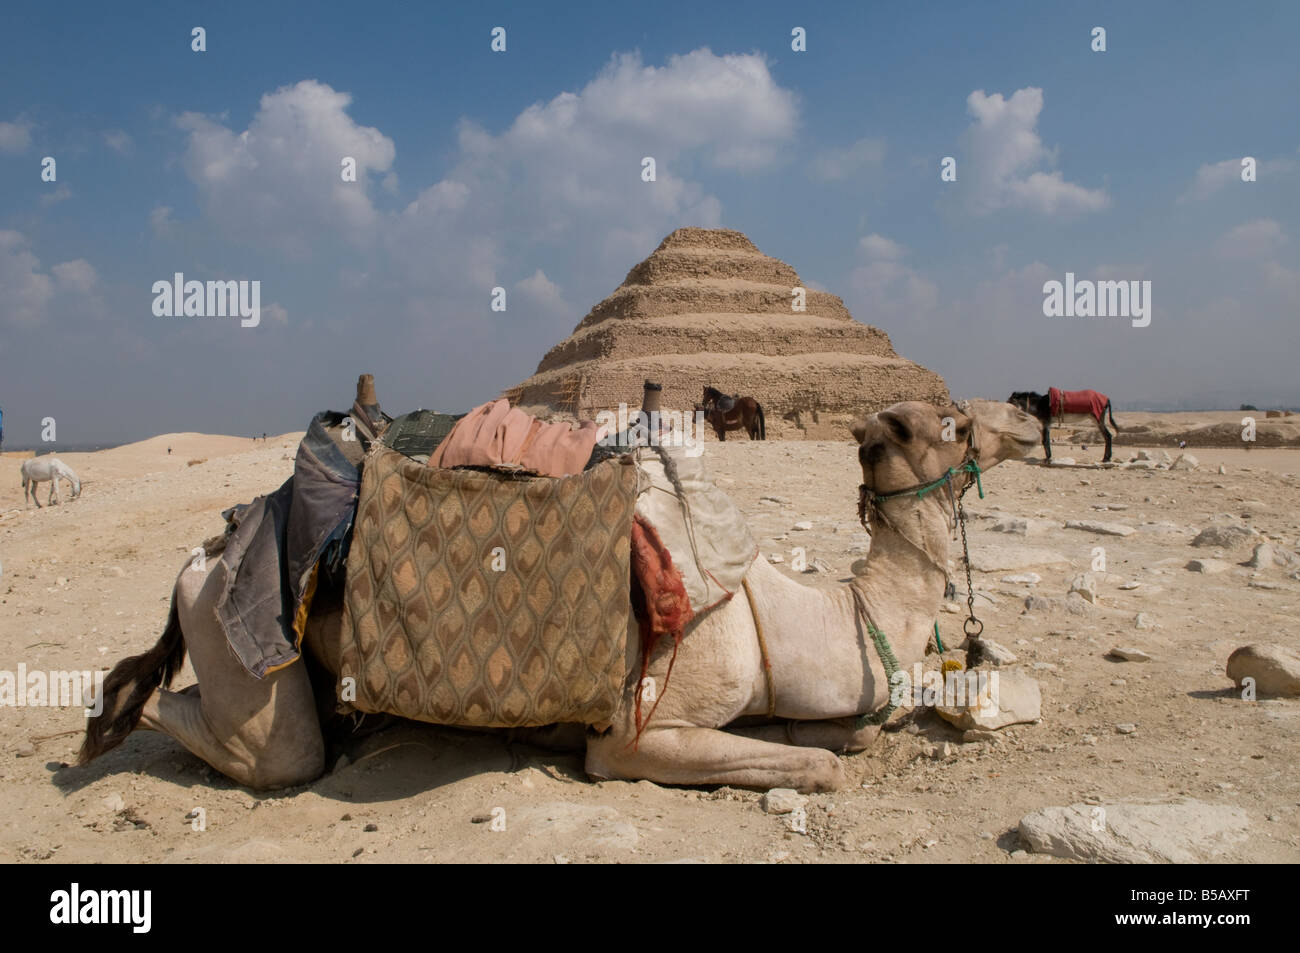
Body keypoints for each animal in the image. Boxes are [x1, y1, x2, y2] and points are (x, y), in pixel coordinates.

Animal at [80, 399, 1041, 792]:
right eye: (951, 422)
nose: (1031, 421)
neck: (771, 615)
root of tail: (211, 547)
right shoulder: (637, 733)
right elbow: (818, 766)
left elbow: (839, 737)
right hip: (238, 632)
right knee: (240, 735)